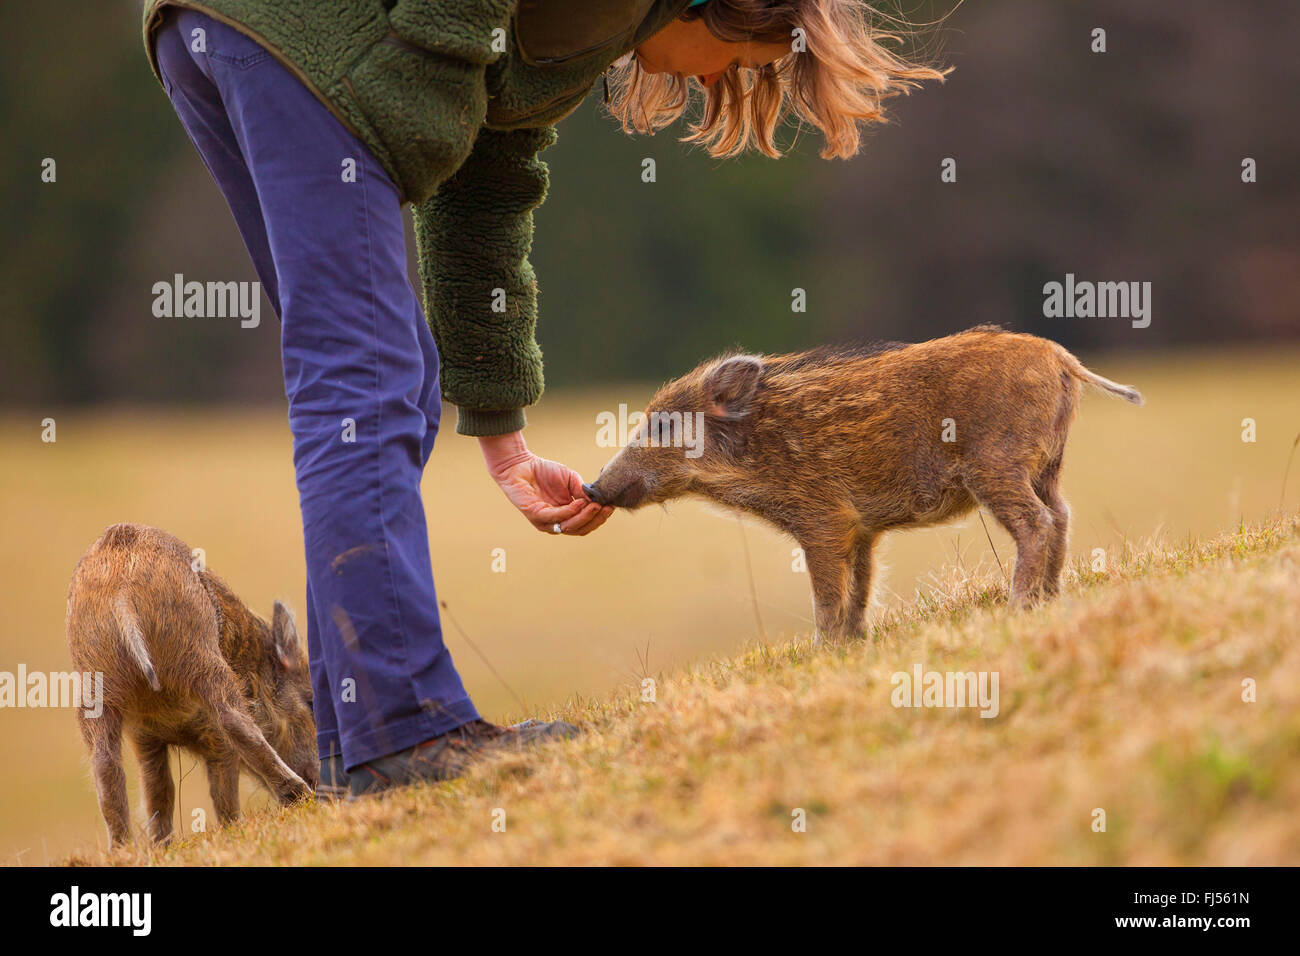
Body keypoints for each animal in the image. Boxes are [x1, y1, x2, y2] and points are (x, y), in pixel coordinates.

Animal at [66, 523, 316, 849]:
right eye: (311, 702)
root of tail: (120, 589)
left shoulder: (144, 738)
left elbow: (158, 790)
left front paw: (161, 846)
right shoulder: (214, 740)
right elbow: (220, 785)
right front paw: (232, 827)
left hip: (94, 689)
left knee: (105, 765)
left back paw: (121, 850)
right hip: (200, 655)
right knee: (234, 722)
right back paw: (299, 794)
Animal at [583, 326, 1143, 639]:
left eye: (663, 425)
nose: (591, 488)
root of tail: (1060, 358)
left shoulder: (822, 521)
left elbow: (828, 594)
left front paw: (824, 649)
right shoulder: (862, 529)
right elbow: (862, 584)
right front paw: (854, 641)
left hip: (997, 465)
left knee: (1036, 521)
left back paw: (1018, 604)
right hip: (1047, 465)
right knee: (1062, 514)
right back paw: (1049, 598)